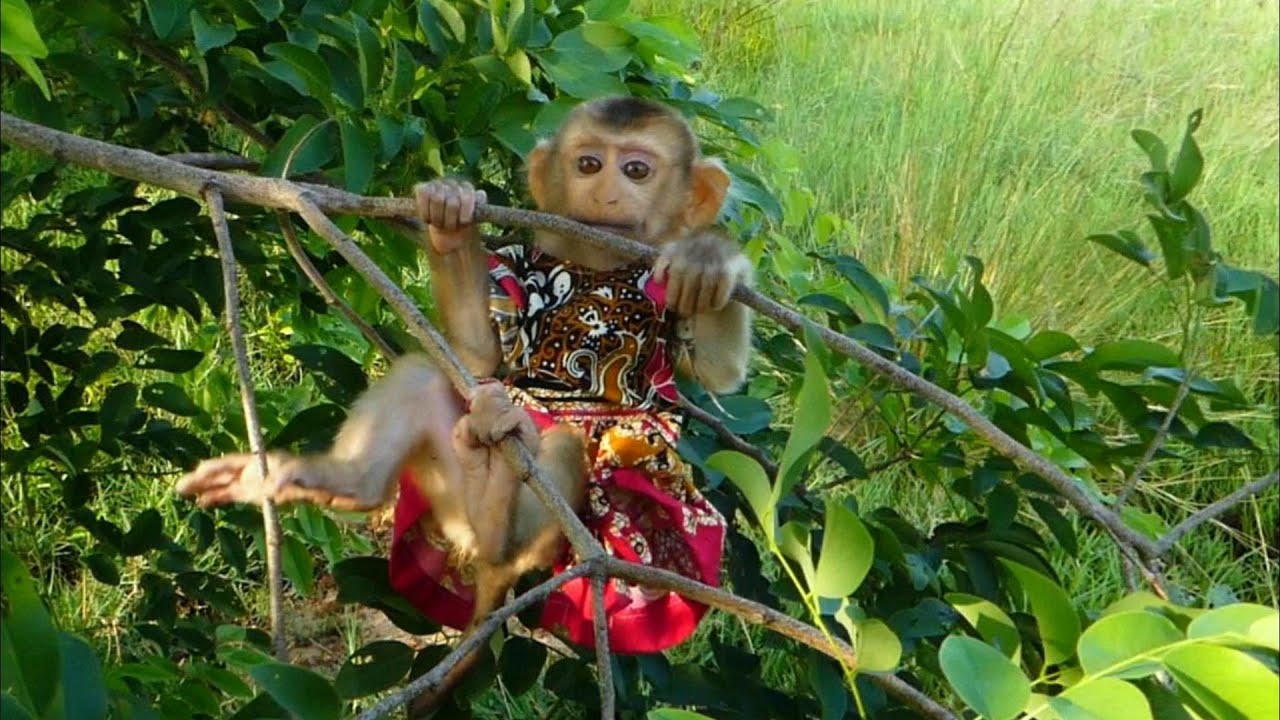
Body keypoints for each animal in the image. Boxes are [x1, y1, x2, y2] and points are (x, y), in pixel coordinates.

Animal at [176, 95, 752, 710]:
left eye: (637, 170)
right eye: (589, 164)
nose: (605, 193)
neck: (594, 269)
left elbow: (718, 372)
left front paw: (710, 259)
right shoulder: (518, 263)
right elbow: (478, 354)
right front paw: (449, 219)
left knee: (565, 442)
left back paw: (500, 523)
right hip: (441, 501)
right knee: (427, 378)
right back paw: (354, 481)